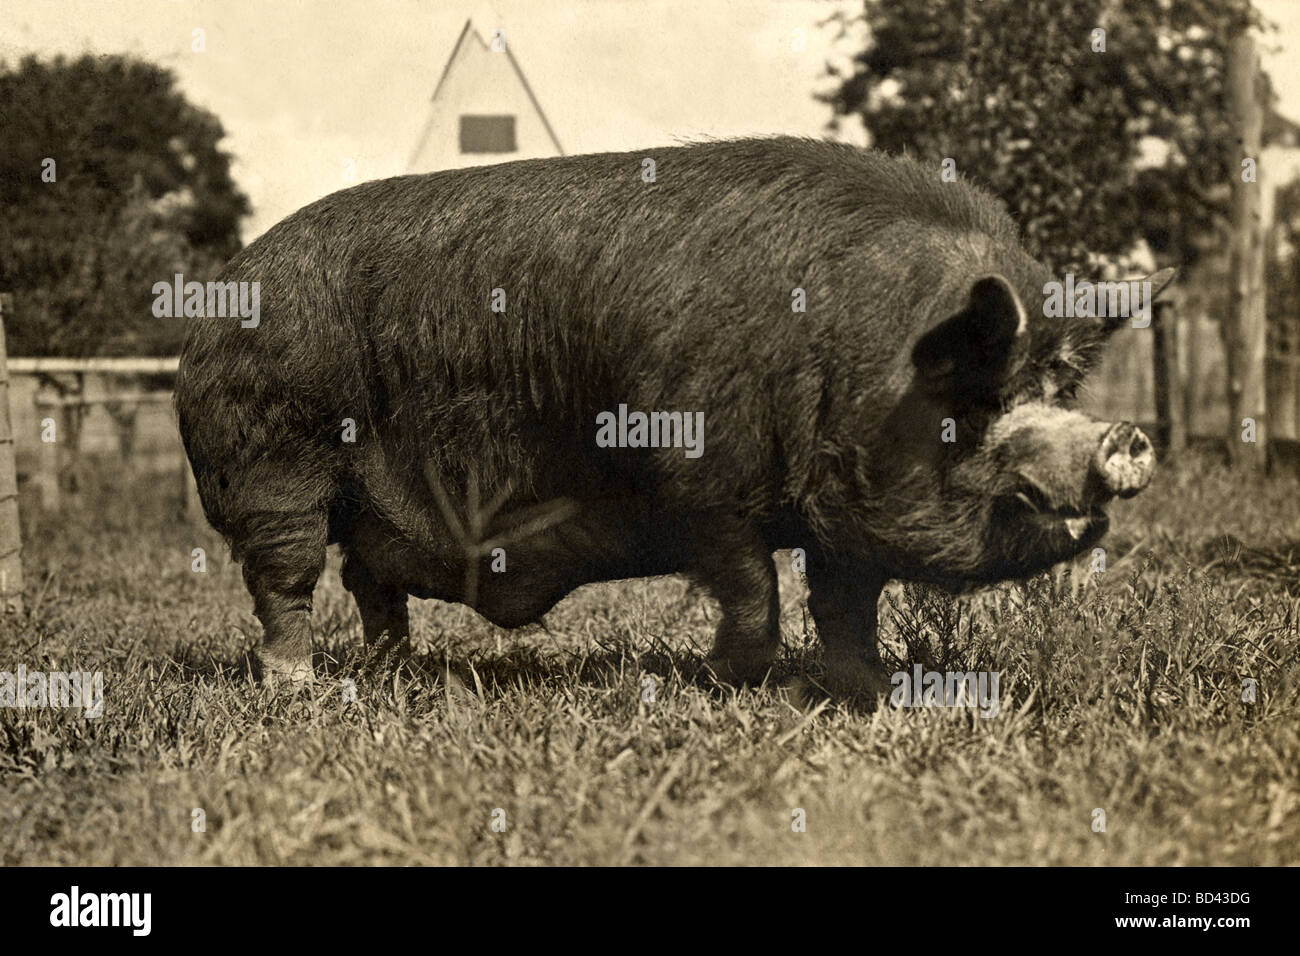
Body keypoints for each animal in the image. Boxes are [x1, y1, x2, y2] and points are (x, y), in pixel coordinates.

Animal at [174, 137, 1169, 699]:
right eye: (981, 398)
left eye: (1062, 385)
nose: (1123, 438)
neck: (851, 358)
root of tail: (213, 304)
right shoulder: (694, 481)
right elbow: (754, 588)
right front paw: (726, 681)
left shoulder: (834, 514)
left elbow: (847, 604)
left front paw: (874, 692)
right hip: (269, 466)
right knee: (288, 581)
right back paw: (297, 690)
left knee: (368, 580)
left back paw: (396, 672)